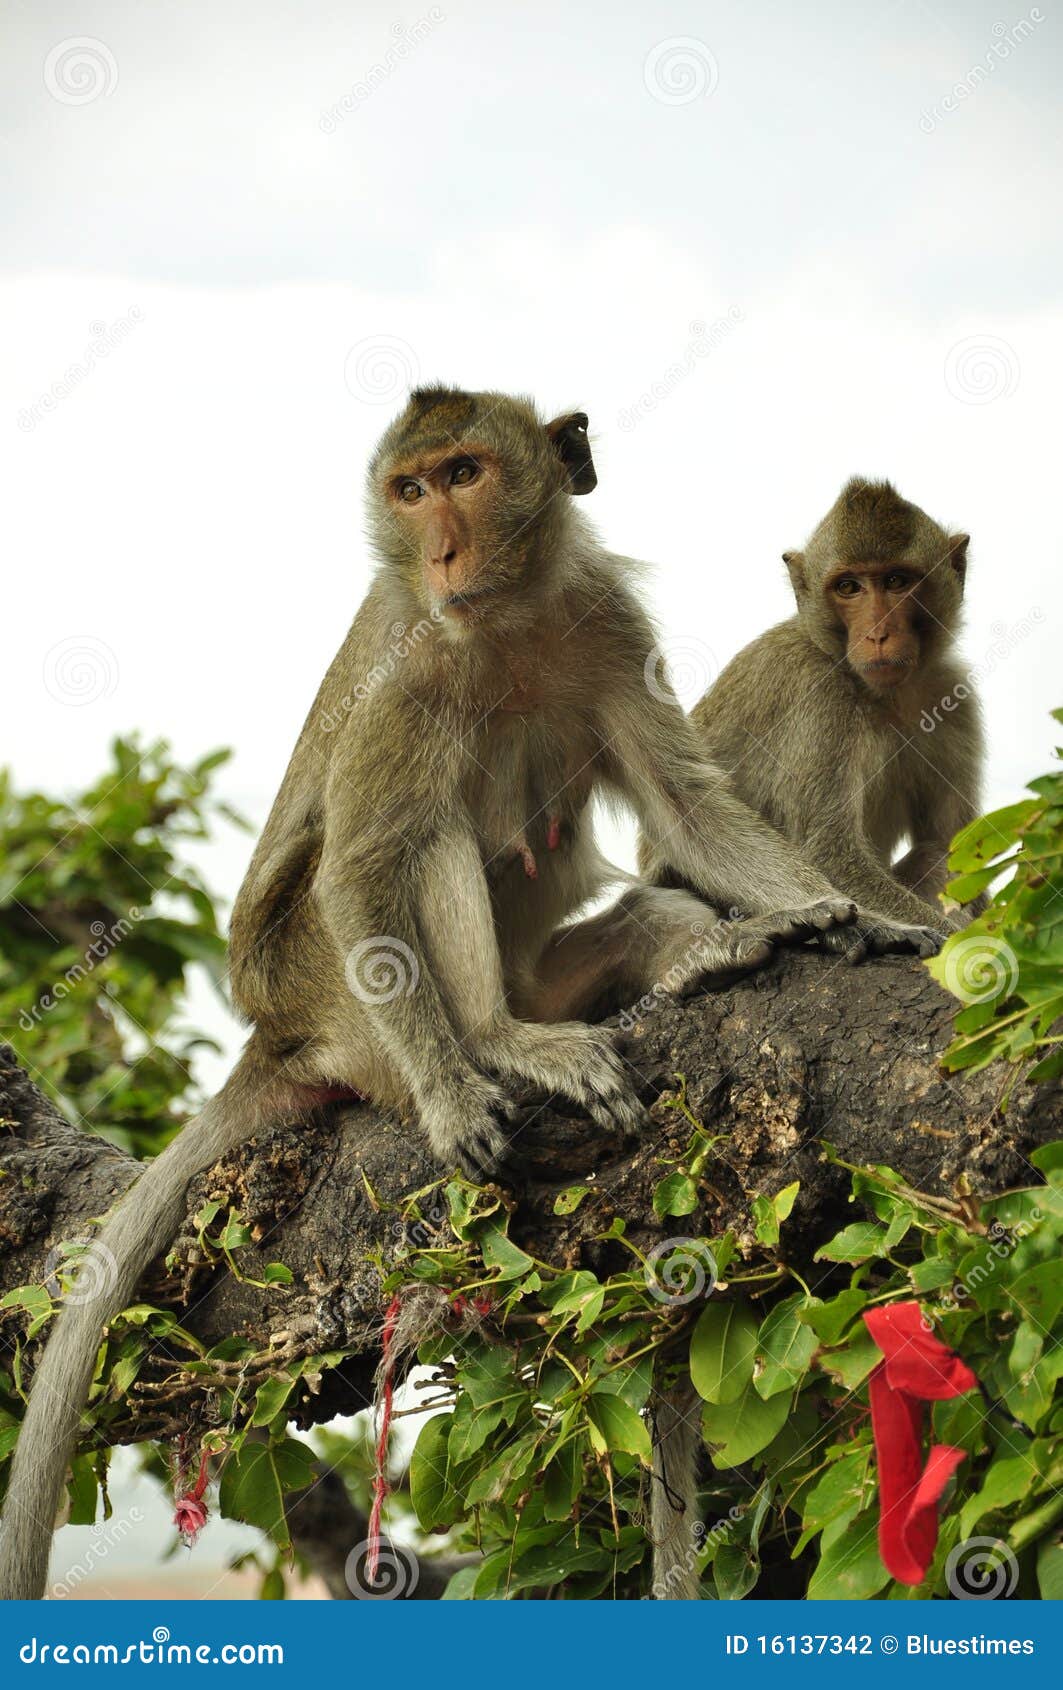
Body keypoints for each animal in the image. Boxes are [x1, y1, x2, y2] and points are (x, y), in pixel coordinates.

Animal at [0, 395, 943, 1601]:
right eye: (409, 490)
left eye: (464, 474)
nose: (443, 550)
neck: (504, 623)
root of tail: (276, 1035)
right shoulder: (411, 663)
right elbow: (364, 863)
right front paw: (457, 1095)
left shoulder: (605, 622)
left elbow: (685, 806)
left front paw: (847, 917)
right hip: (336, 993)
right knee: (424, 834)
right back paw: (496, 1044)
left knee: (611, 888)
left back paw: (697, 956)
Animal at [640, 478, 984, 934]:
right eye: (849, 587)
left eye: (896, 580)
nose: (877, 633)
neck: (878, 693)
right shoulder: (818, 696)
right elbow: (831, 860)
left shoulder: (951, 694)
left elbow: (957, 848)